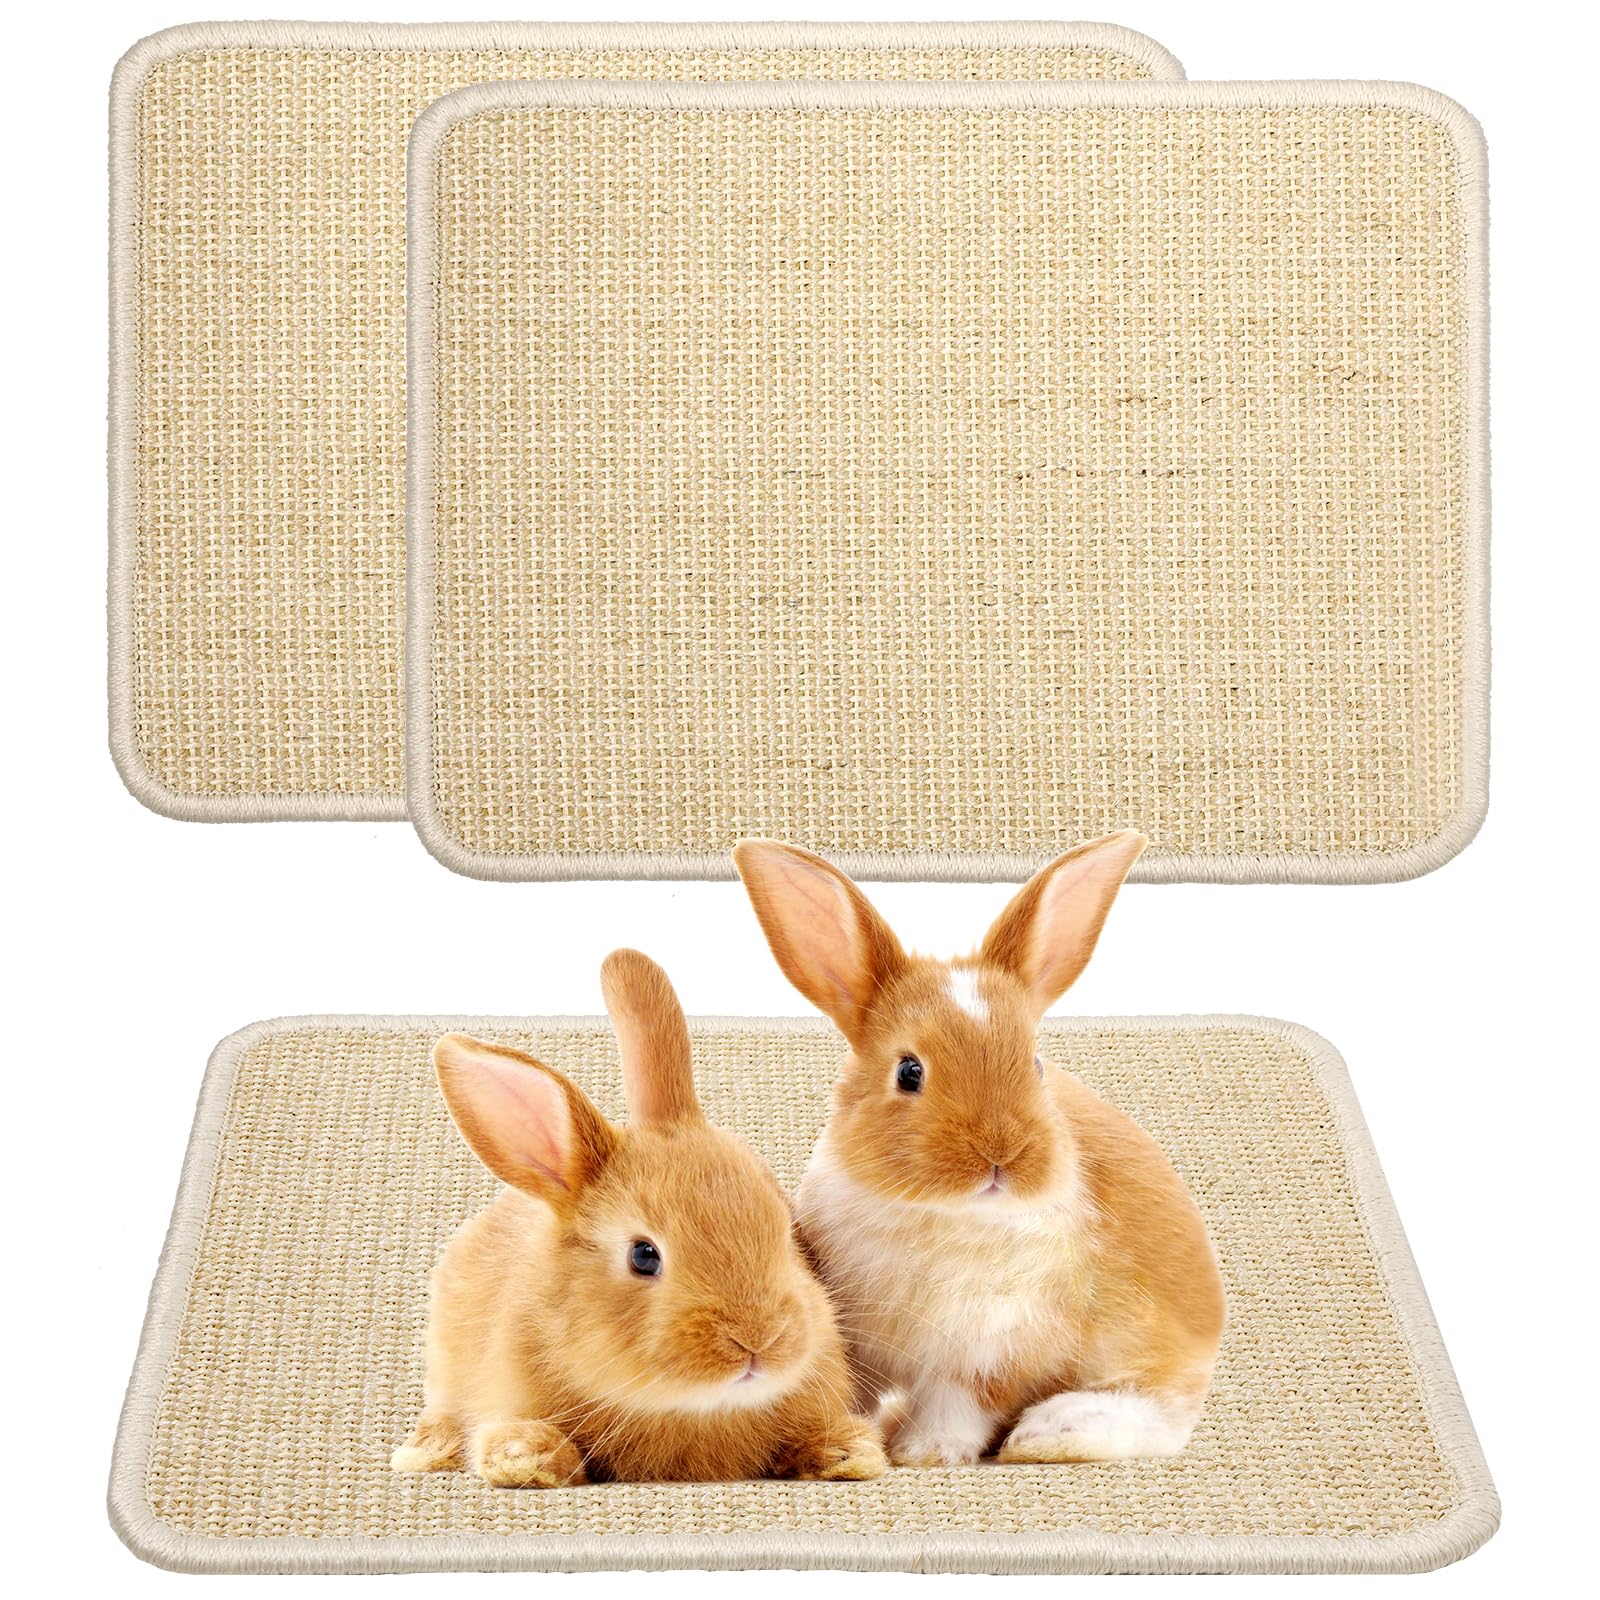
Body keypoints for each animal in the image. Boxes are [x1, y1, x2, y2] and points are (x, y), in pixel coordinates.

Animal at [392, 948, 888, 1488]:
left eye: (786, 1230)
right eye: (643, 1256)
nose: (757, 1338)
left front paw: (849, 1453)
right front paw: (526, 1458)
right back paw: (422, 1453)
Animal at [733, 832, 1225, 1469]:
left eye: (1035, 1065)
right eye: (909, 1071)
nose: (1001, 1155)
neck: (941, 1214)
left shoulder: (994, 1351)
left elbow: (960, 1404)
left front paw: (926, 1452)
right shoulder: (853, 1336)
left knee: (1159, 1418)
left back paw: (1053, 1432)